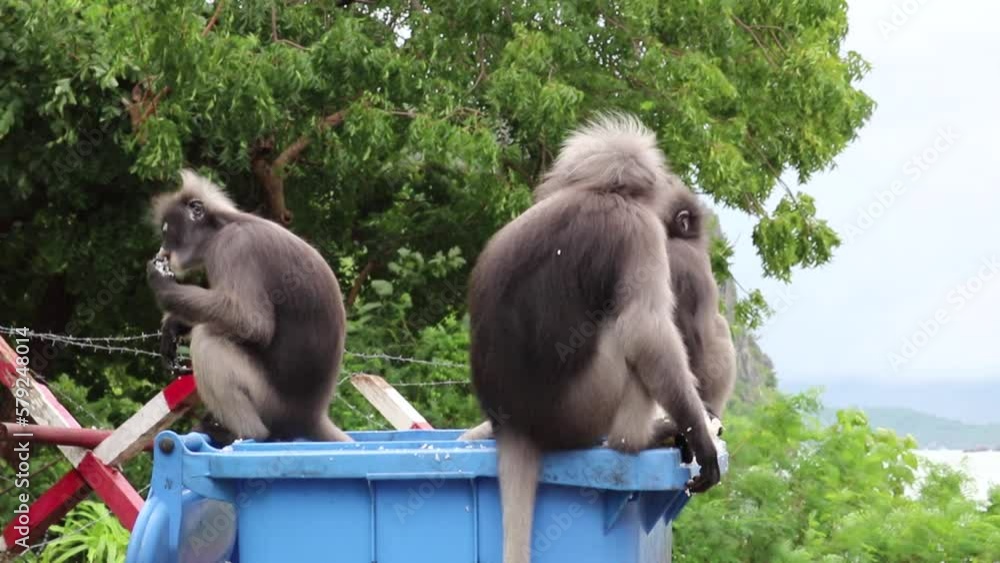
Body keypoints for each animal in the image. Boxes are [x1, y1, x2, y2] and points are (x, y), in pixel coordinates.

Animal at [146, 169, 352, 444]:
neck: (222, 226)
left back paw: (247, 434)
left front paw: (162, 284)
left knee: (209, 340)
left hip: (271, 404)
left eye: (167, 232)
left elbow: (252, 323)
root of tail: (310, 417)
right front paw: (173, 326)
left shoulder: (234, 247)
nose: (163, 251)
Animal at [466, 113, 720, 563]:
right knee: (631, 336)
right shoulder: (639, 230)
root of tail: (514, 423)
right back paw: (634, 439)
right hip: (584, 407)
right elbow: (647, 333)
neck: (596, 194)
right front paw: (700, 436)